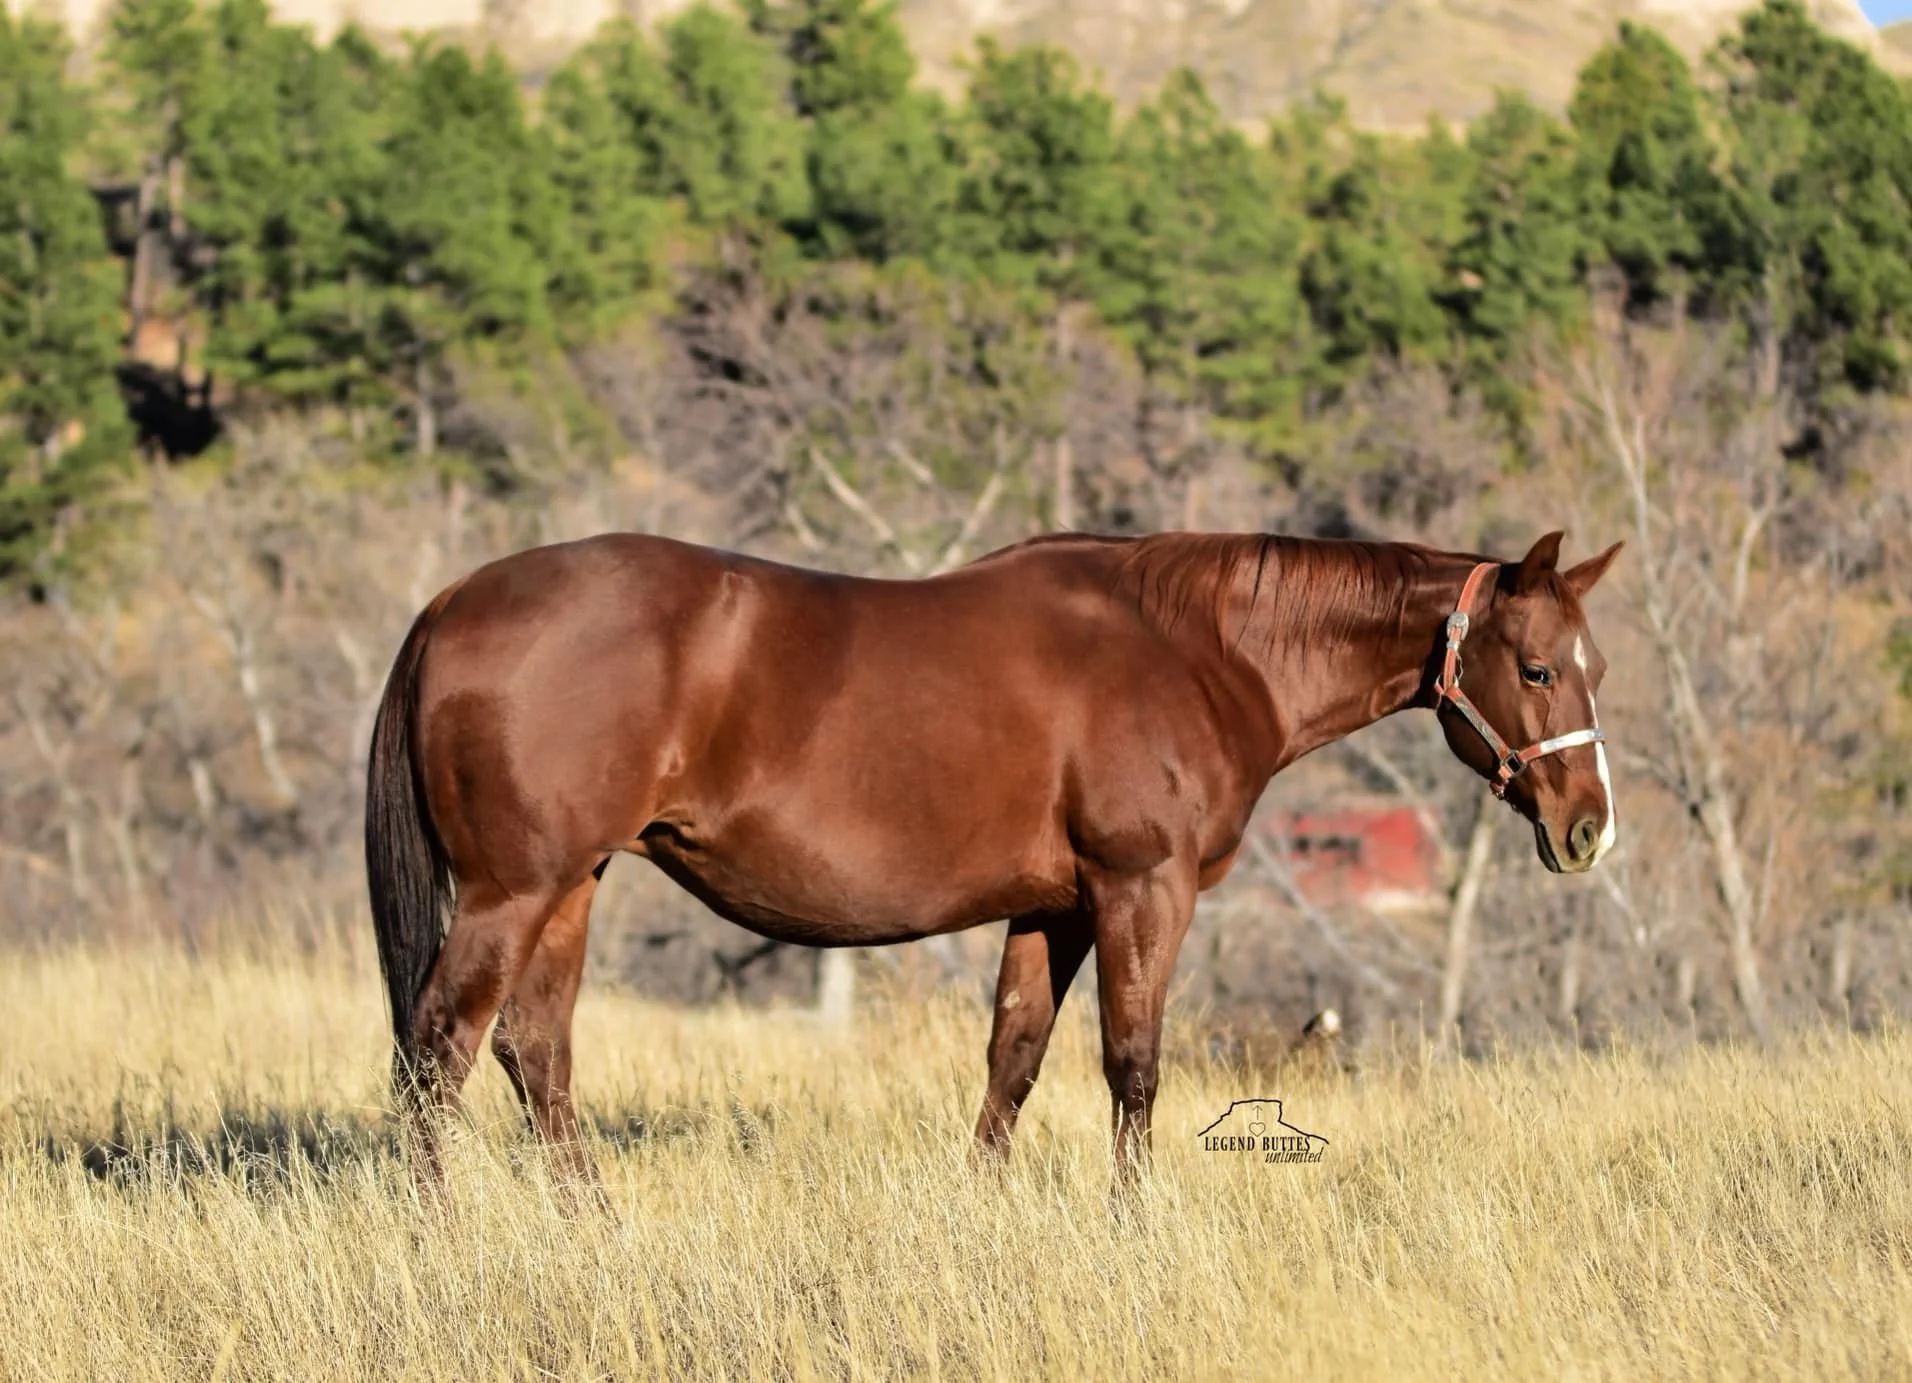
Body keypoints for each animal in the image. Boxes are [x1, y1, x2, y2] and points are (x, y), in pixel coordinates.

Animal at [365, 527, 1622, 1189]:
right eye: (1539, 669)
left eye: (1592, 665)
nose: (1587, 829)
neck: (1195, 651)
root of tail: (452, 600)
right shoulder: (1140, 891)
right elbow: (1134, 1065)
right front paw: (1132, 1220)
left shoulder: (1050, 910)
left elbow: (1011, 1061)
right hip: (512, 892)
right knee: (439, 1052)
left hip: (572, 886)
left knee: (535, 1052)